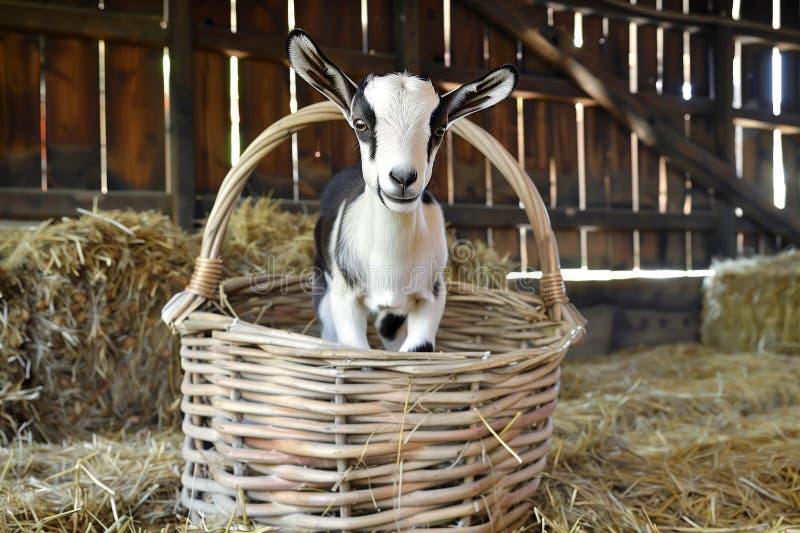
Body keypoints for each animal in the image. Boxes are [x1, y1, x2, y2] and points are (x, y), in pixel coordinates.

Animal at [286, 29, 518, 352]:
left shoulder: (433, 295)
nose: (403, 178)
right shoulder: (344, 297)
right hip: (323, 283)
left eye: (439, 130)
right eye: (360, 123)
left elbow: (417, 349)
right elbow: (355, 348)